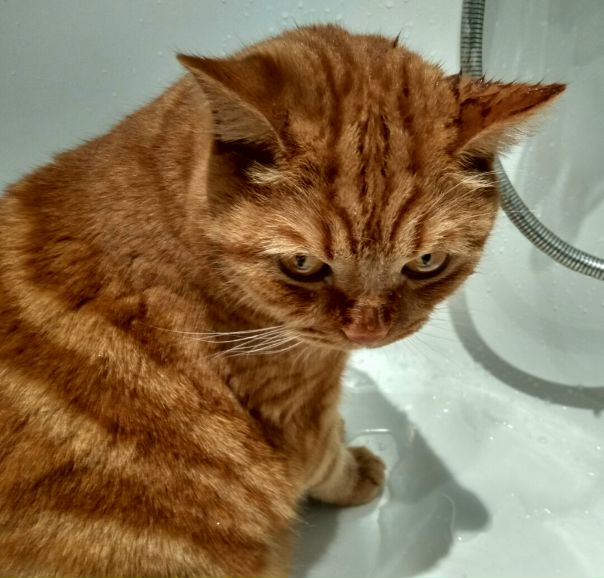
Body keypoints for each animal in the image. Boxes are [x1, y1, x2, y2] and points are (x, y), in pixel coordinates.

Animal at [0, 24, 563, 578]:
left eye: (426, 261)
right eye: (302, 264)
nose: (367, 331)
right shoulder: (297, 414)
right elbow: (326, 460)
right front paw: (357, 471)